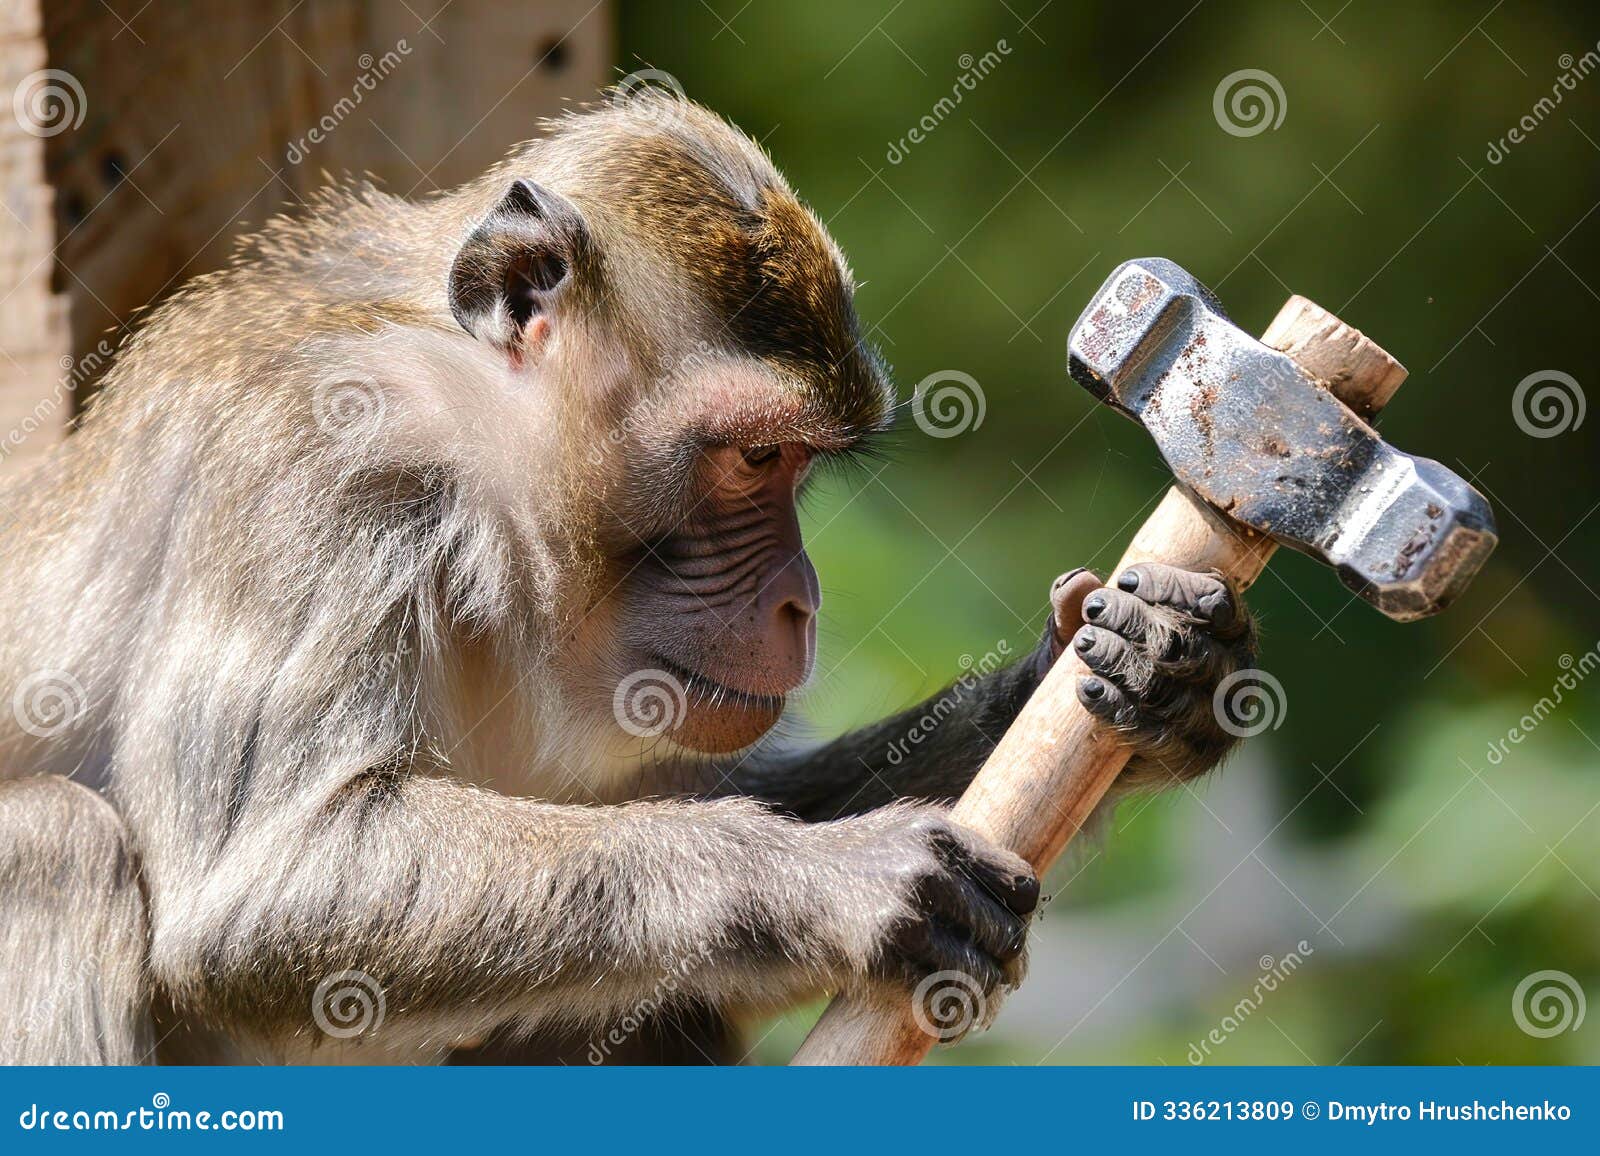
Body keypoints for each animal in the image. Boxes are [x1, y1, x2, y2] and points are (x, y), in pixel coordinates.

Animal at [0, 93, 1257, 1065]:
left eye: (801, 464)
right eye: (753, 455)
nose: (802, 599)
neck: (474, 471)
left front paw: (1151, 675)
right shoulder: (318, 462)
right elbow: (258, 888)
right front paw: (819, 878)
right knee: (58, 844)